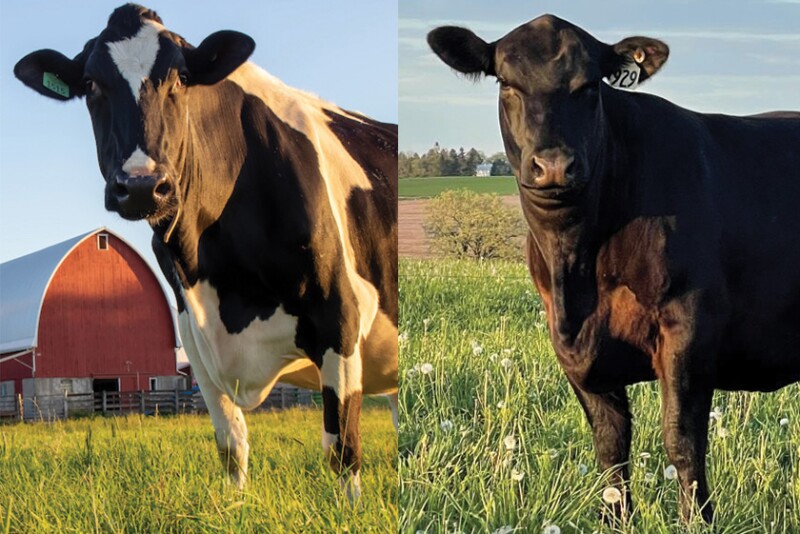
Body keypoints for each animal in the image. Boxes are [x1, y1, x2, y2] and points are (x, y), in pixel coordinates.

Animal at [15, 3, 398, 501]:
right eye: (91, 84)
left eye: (180, 77)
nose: (142, 185)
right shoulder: (195, 339)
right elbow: (231, 447)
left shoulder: (340, 318)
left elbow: (343, 450)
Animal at [428, 14, 800, 524]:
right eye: (506, 83)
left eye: (589, 86)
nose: (554, 165)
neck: (577, 269)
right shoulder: (570, 344)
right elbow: (610, 446)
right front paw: (616, 519)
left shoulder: (689, 322)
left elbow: (681, 440)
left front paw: (696, 522)